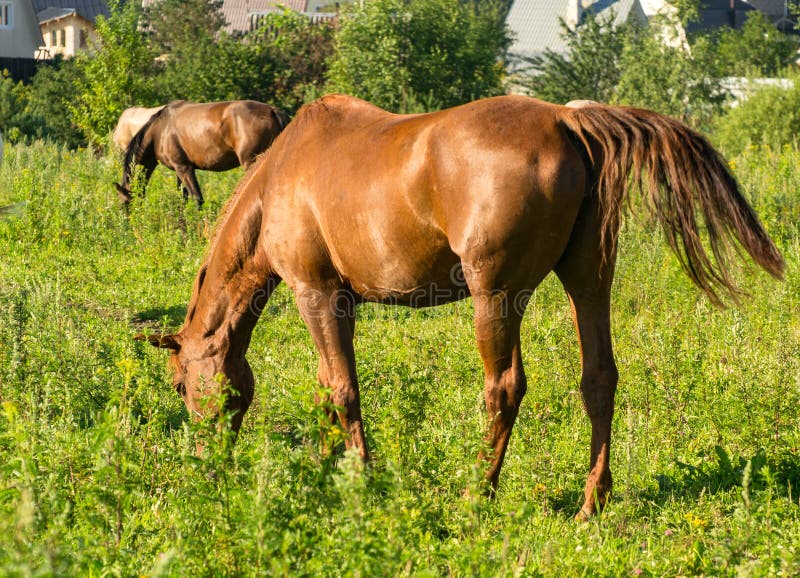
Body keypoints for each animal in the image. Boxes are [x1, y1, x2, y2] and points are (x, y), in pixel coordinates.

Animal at [115, 100, 290, 207]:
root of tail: (273, 111)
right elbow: (182, 200)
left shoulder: (184, 168)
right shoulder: (179, 170)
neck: (160, 130)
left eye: (124, 203)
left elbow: (197, 199)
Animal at [140, 94, 784, 520]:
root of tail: (567, 118)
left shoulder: (315, 293)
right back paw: (590, 503)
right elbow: (327, 387)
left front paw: (359, 480)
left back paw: (479, 491)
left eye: (180, 384)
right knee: (599, 377)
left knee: (505, 387)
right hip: (587, 279)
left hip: (495, 296)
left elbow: (343, 389)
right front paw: (325, 471)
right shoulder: (339, 300)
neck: (279, 179)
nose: (206, 462)